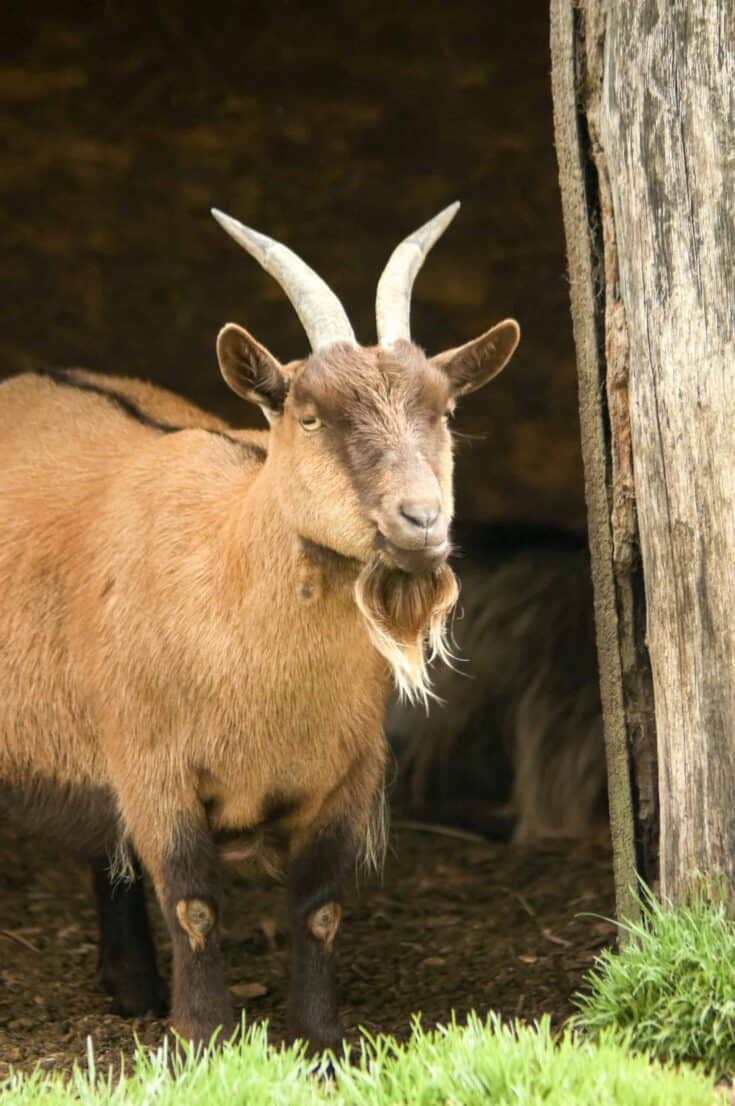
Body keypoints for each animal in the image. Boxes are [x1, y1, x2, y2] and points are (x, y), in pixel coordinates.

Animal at [0, 203, 520, 1051]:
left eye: (444, 412)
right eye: (308, 416)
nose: (420, 521)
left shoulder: (346, 776)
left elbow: (319, 910)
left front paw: (321, 1043)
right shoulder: (154, 768)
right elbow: (193, 903)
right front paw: (202, 1039)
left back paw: (132, 989)